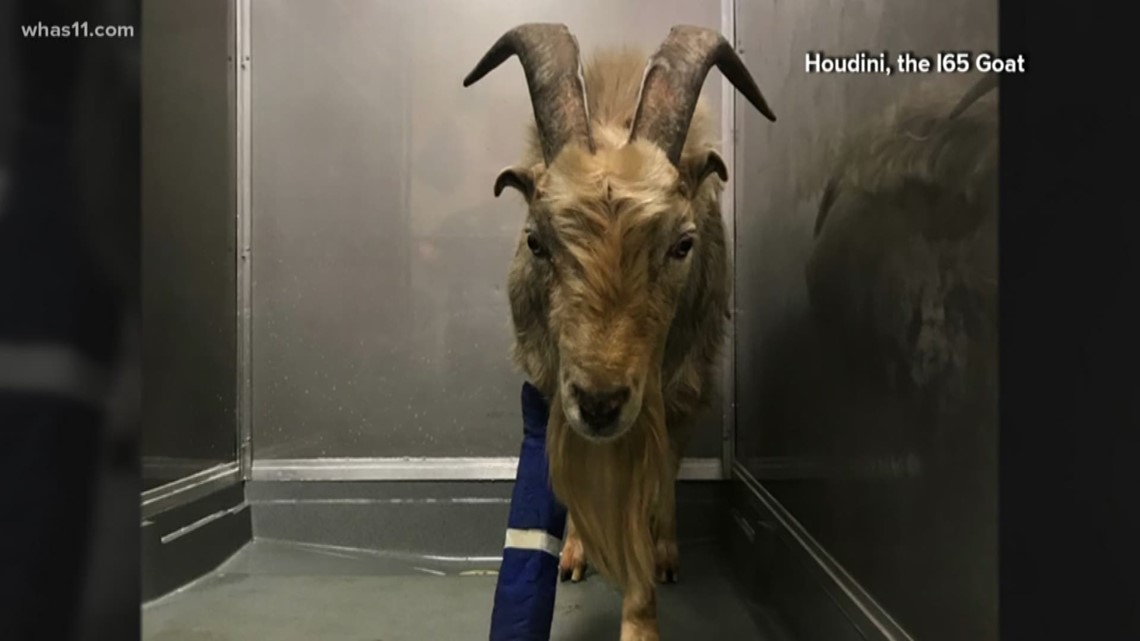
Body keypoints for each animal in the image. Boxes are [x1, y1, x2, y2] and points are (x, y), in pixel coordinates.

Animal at [463, 24, 775, 641]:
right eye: (536, 241)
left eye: (682, 243)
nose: (600, 403)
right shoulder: (550, 387)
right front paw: (573, 552)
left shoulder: (669, 395)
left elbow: (648, 490)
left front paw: (642, 614)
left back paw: (666, 551)